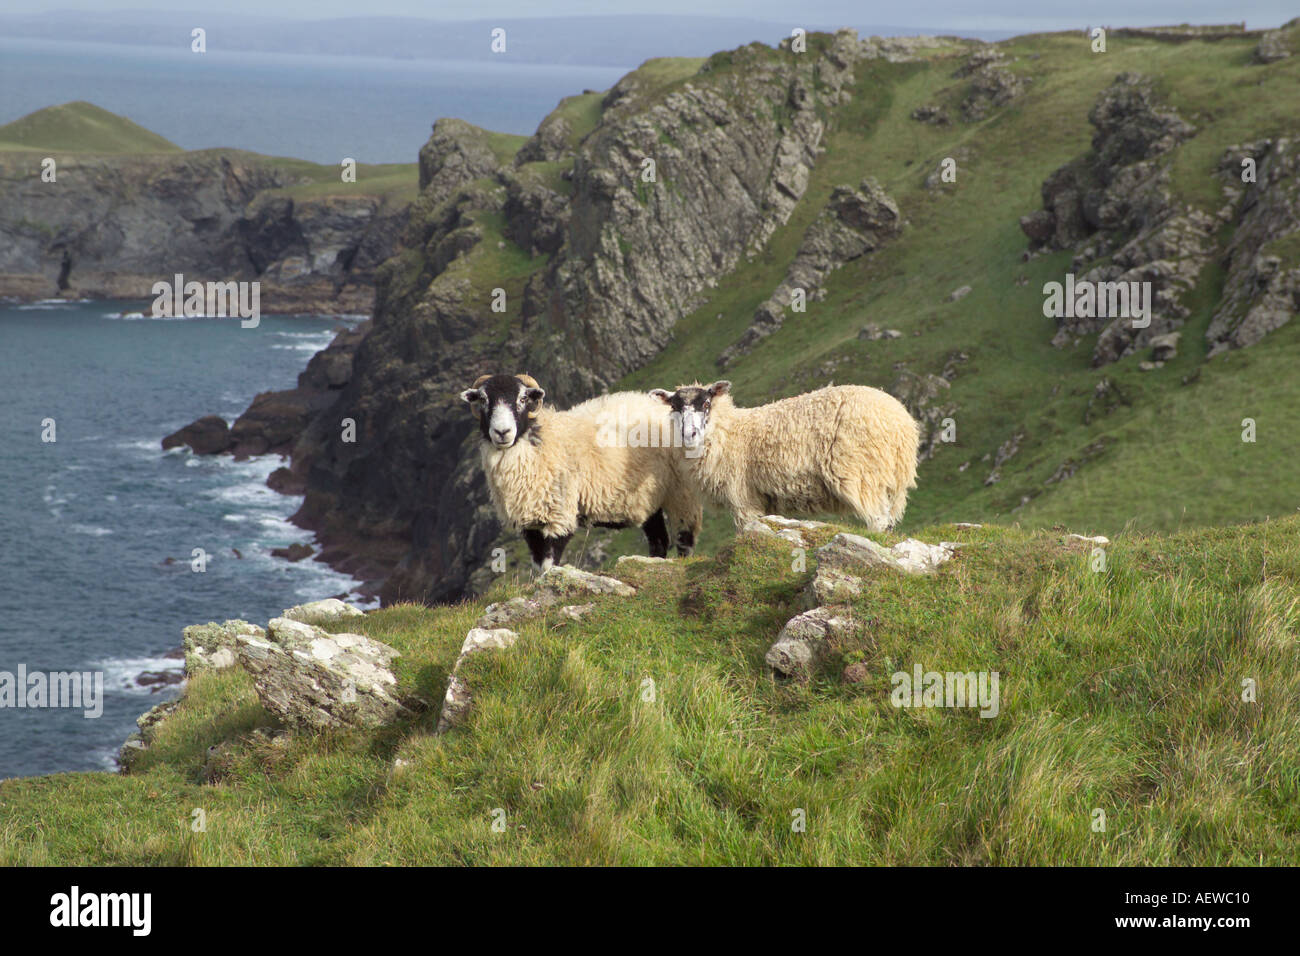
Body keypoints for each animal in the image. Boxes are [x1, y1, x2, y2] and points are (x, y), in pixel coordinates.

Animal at [460, 373, 702, 572]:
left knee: (684, 539)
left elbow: (549, 565)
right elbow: (538, 565)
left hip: (682, 492)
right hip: (649, 498)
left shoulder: (560, 515)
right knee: (659, 541)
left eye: (522, 399)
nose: (502, 432)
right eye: (483, 400)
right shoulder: (531, 524)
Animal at [649, 380, 920, 530]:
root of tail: (902, 422)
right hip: (886, 480)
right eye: (674, 407)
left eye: (706, 404)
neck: (730, 432)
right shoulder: (761, 500)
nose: (689, 433)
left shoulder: (743, 498)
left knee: (878, 521)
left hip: (861, 472)